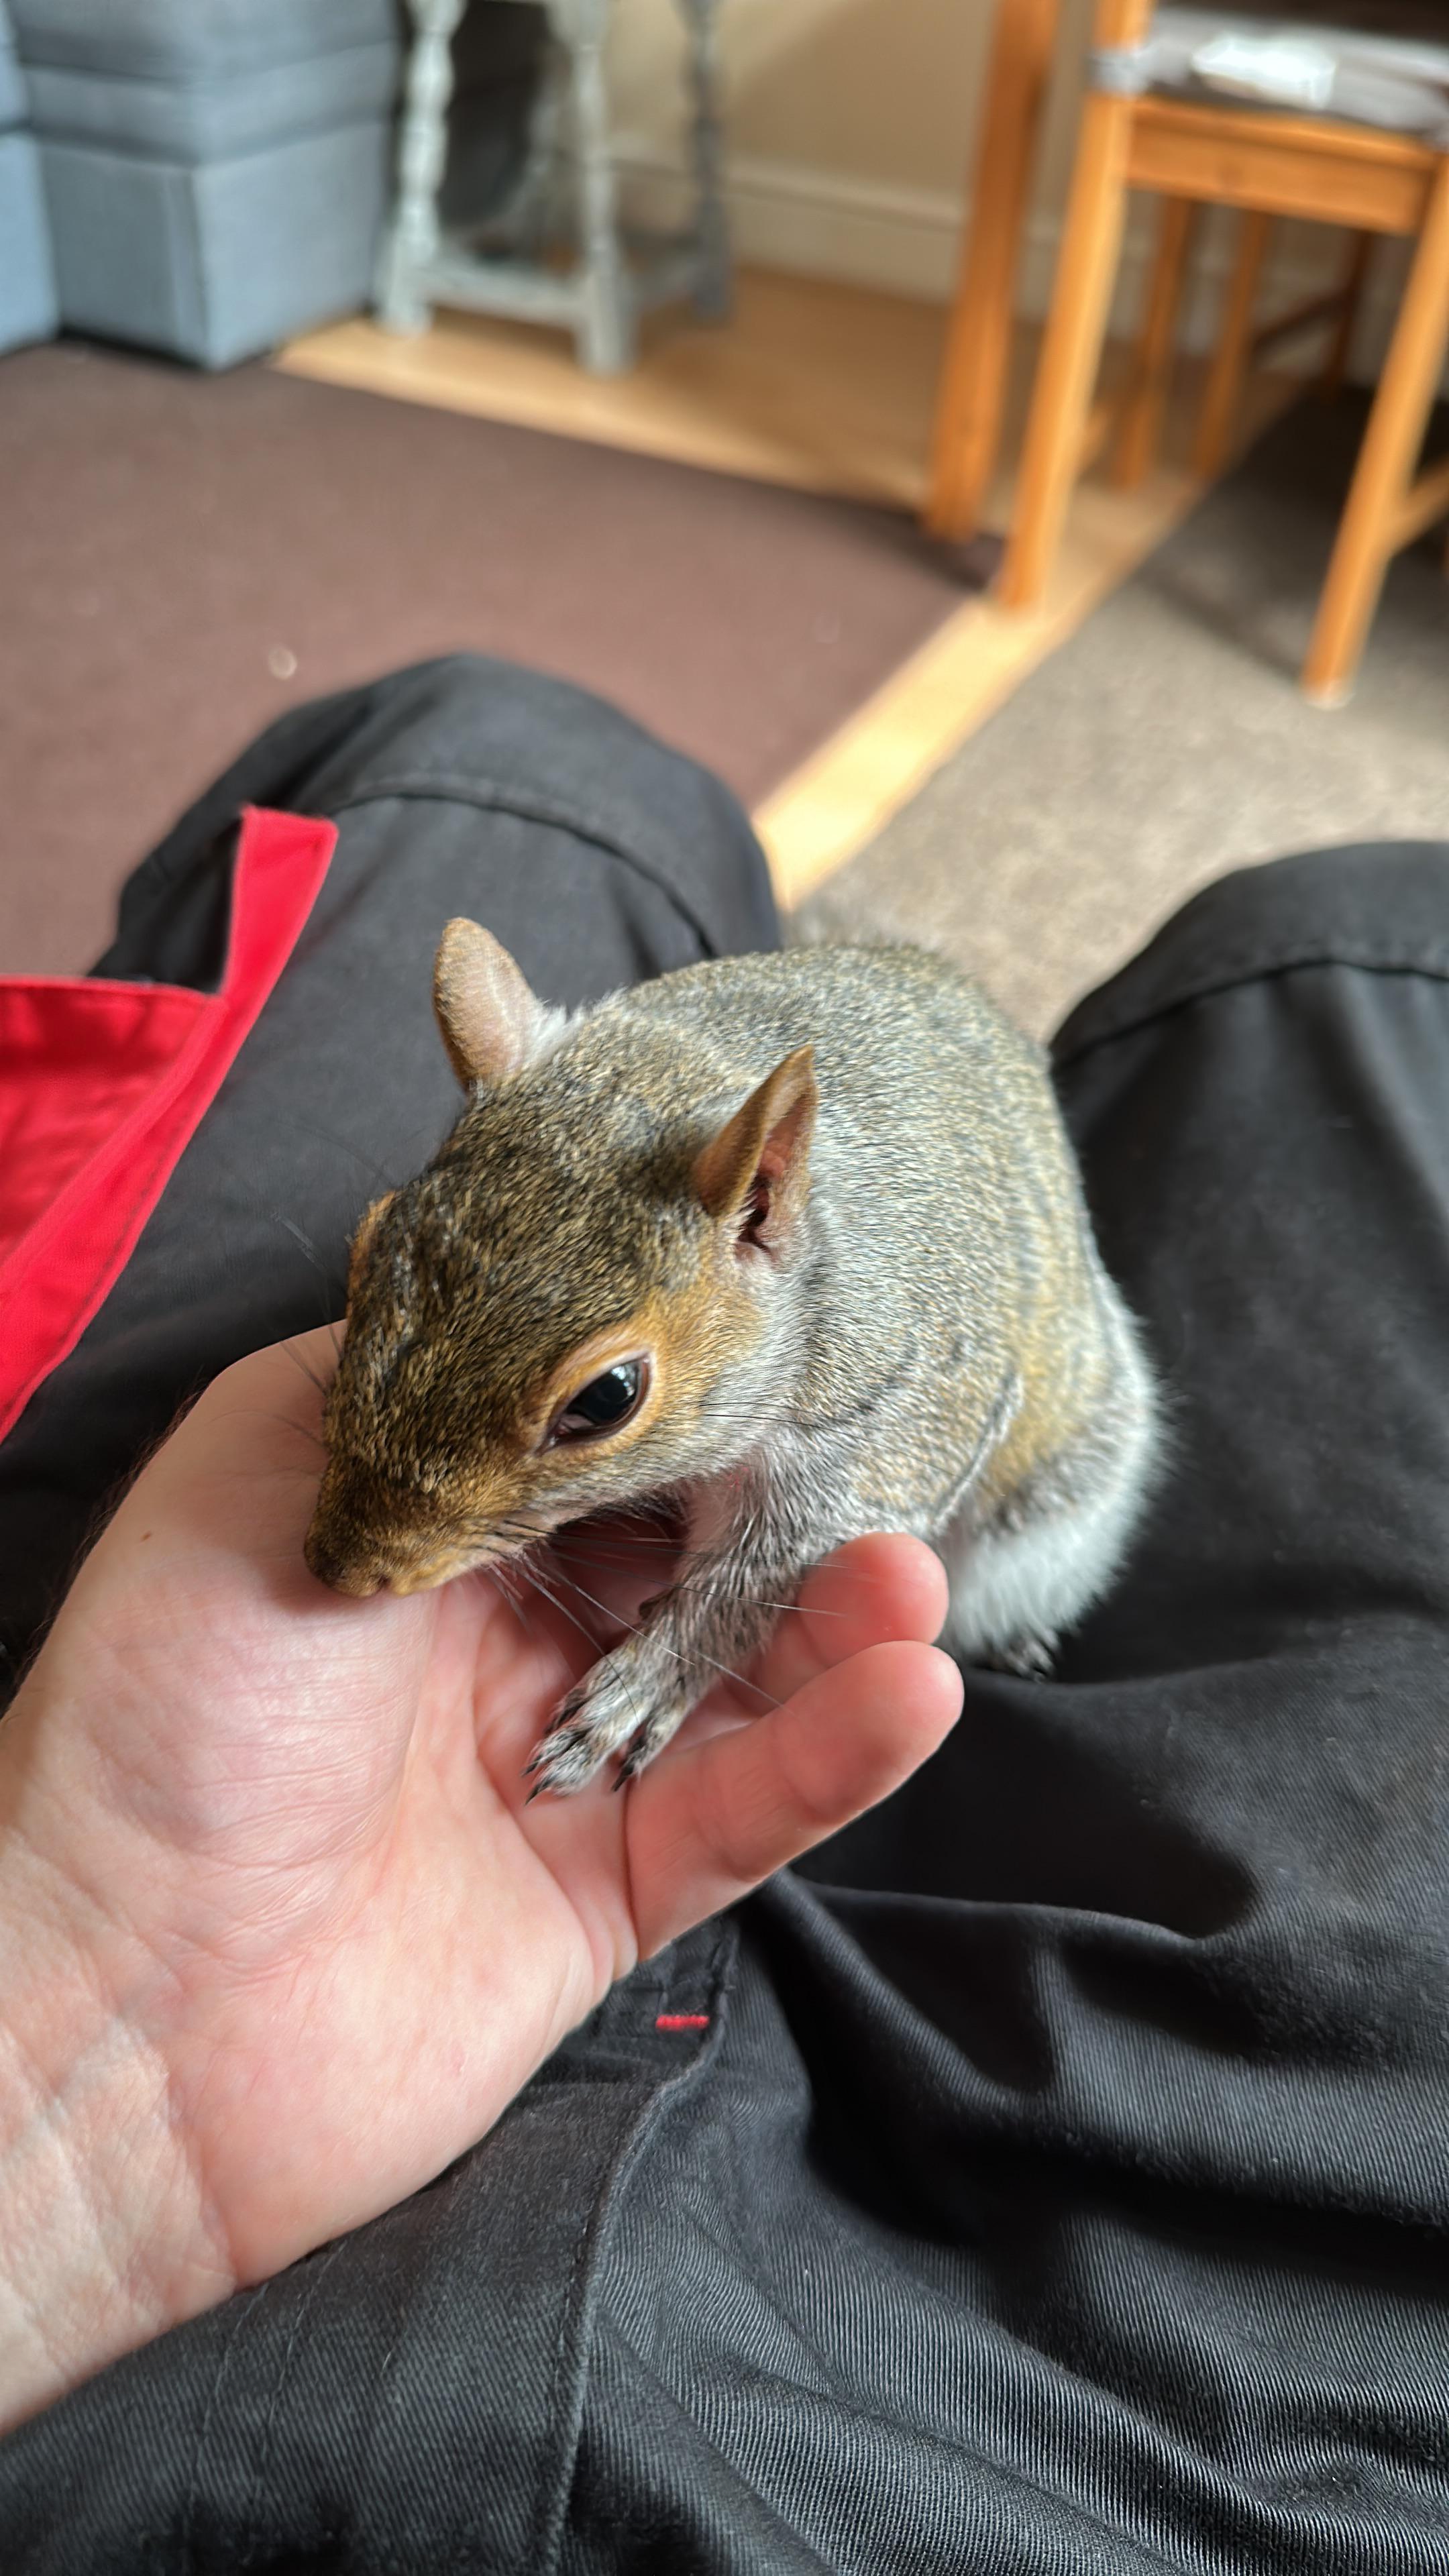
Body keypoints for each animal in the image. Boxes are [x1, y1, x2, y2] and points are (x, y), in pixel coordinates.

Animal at [305, 920, 1160, 1795]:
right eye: (369, 1239)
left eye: (608, 1397)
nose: (341, 1568)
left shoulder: (885, 1427)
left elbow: (755, 1581)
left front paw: (642, 1686)